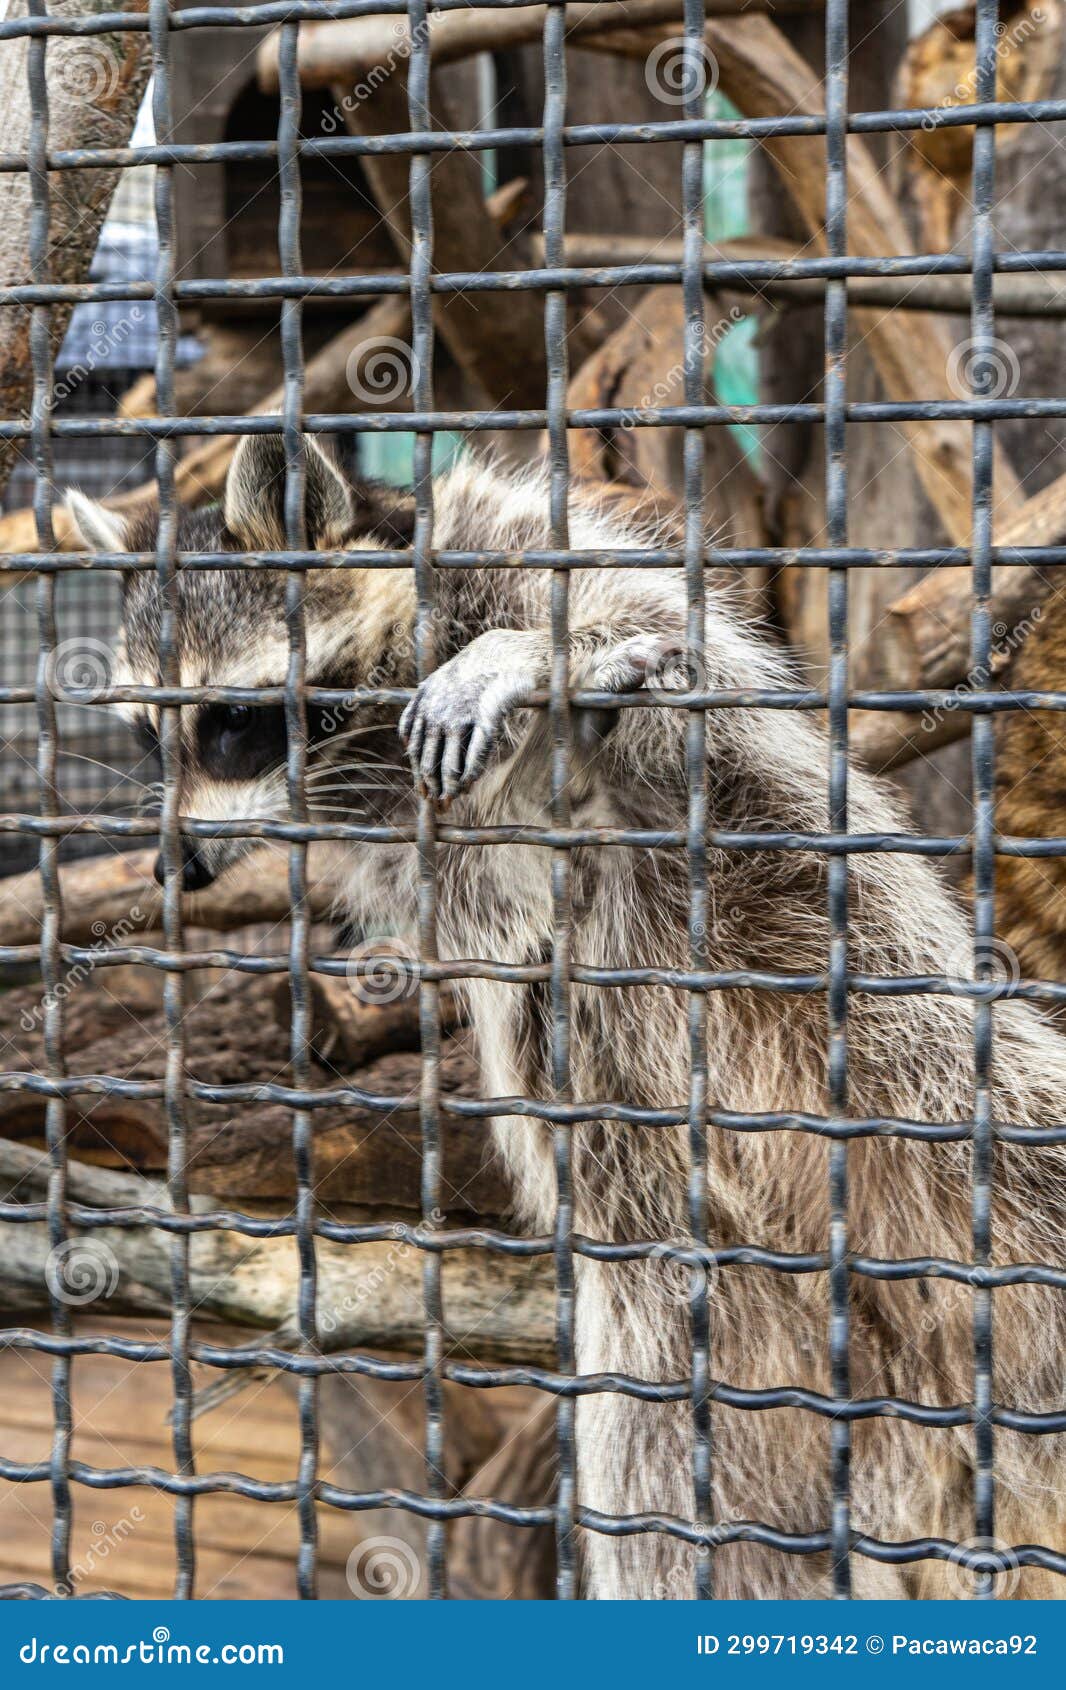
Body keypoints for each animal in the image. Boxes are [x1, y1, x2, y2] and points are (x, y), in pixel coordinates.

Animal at [69, 435, 1066, 1600]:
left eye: (229, 722)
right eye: (150, 737)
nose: (176, 865)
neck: (365, 736)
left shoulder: (525, 564)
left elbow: (660, 645)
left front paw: (534, 657)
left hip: (916, 1059)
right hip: (699, 1323)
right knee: (672, 1496)